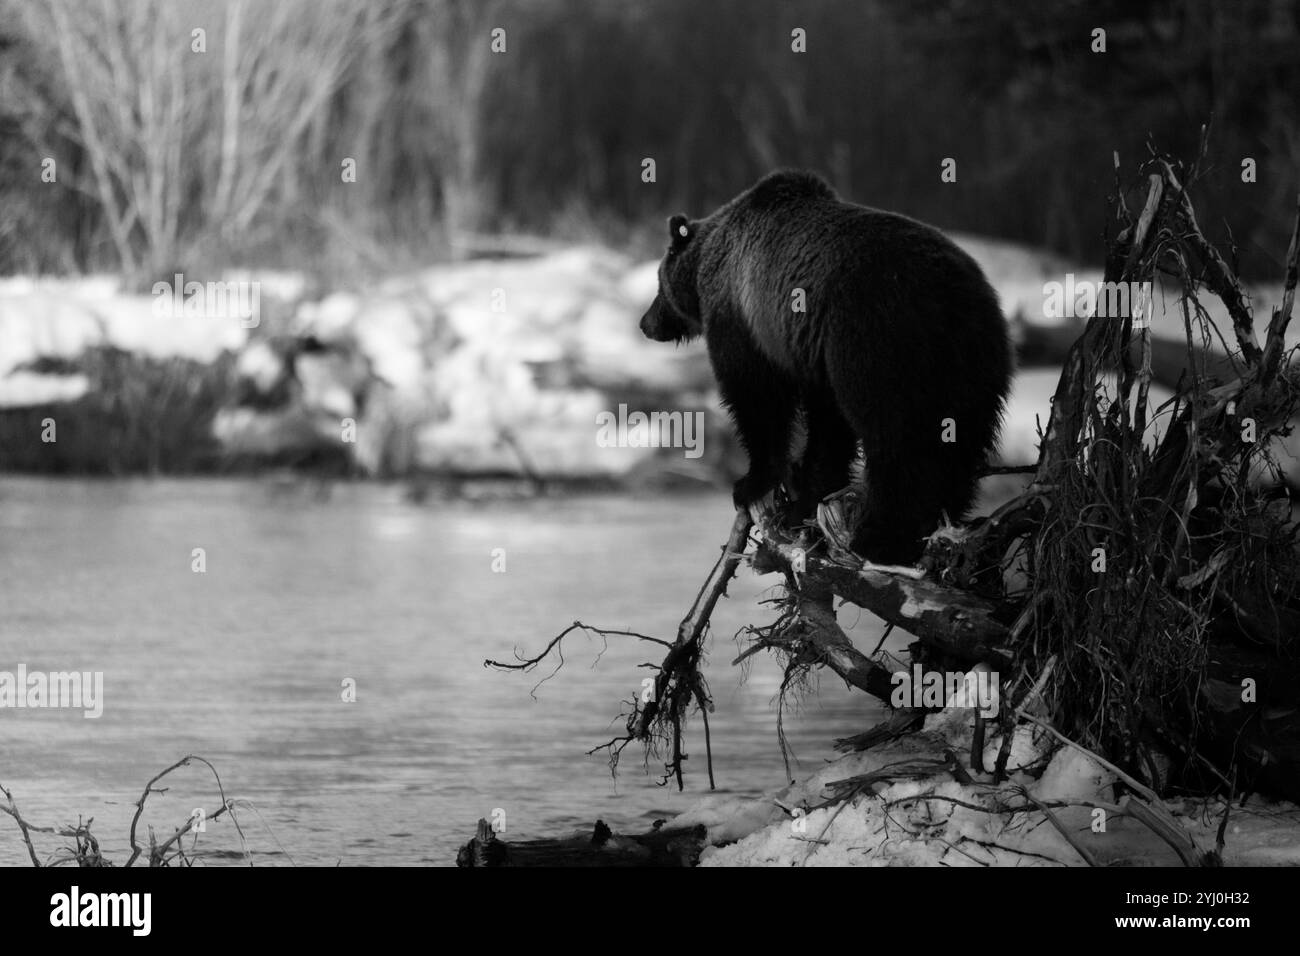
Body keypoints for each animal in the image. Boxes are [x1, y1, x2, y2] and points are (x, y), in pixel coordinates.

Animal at [639, 169, 1013, 564]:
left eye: (658, 282)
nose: (646, 322)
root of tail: (951, 298)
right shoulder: (812, 350)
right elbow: (827, 426)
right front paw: (806, 495)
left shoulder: (744, 321)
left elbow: (756, 397)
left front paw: (750, 483)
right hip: (972, 362)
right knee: (962, 436)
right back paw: (944, 519)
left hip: (879, 338)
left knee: (895, 439)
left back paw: (880, 537)